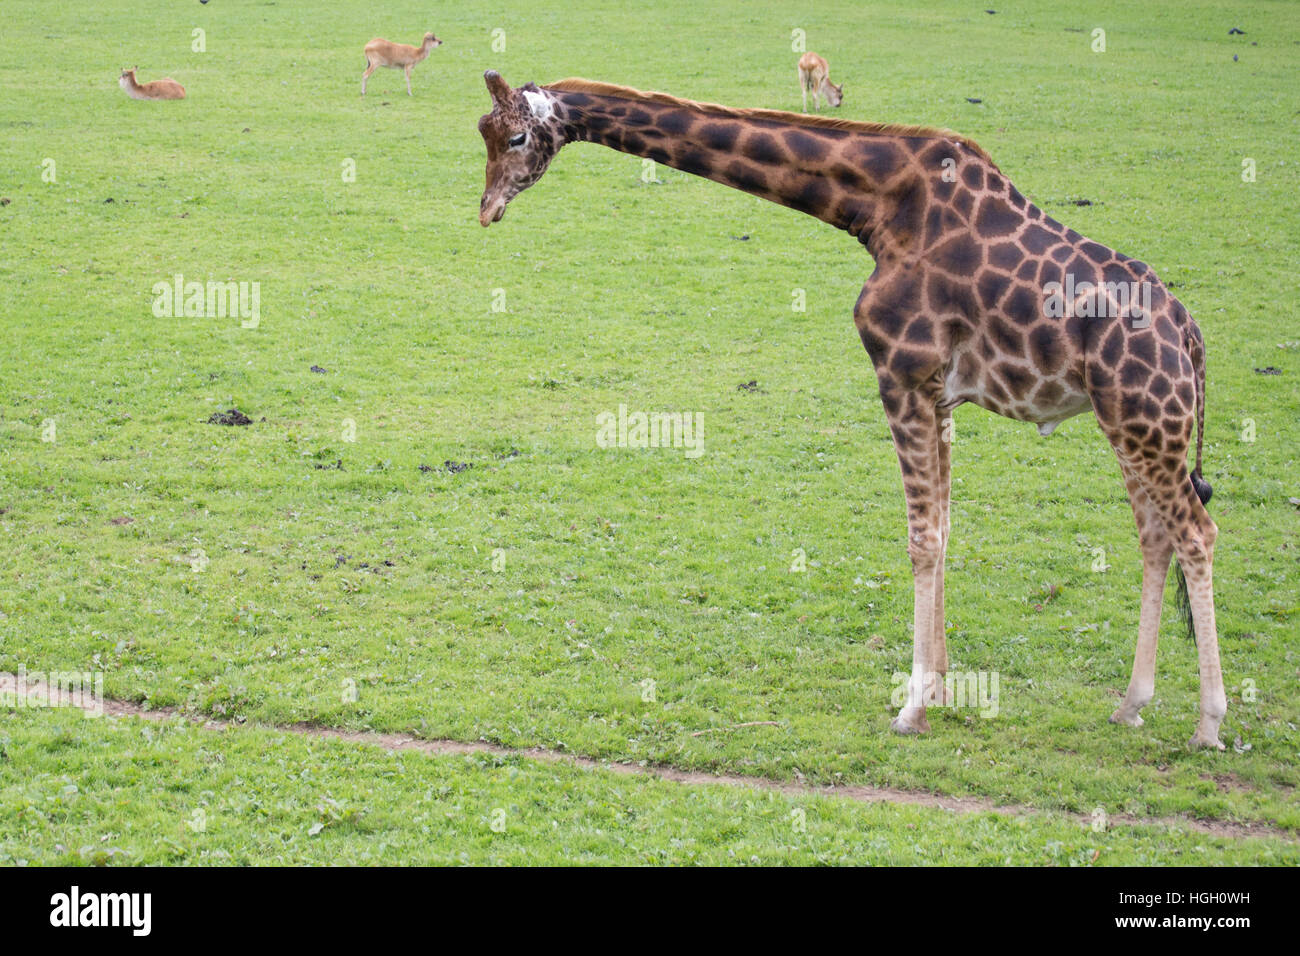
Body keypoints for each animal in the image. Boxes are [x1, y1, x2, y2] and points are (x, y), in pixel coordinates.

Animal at [475, 71, 1226, 750]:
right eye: (482, 130)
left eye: (517, 135)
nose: (486, 209)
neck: (874, 209)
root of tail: (1190, 338)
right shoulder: (938, 392)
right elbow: (944, 530)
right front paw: (941, 689)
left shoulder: (900, 373)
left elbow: (921, 539)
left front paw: (911, 708)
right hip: (1130, 425)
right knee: (1155, 536)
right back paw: (1131, 705)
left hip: (1146, 420)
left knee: (1197, 533)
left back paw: (1209, 724)